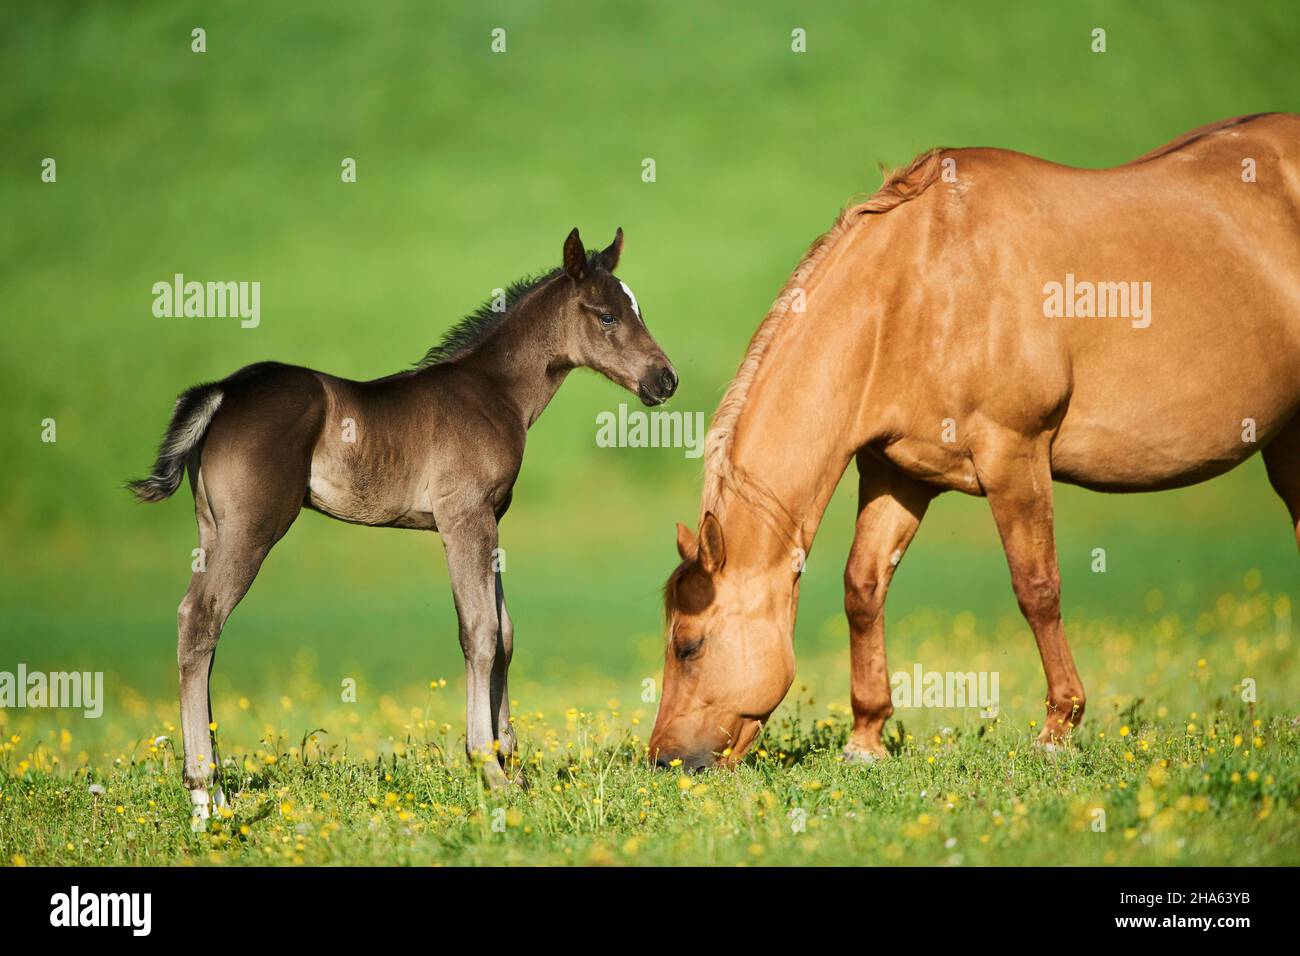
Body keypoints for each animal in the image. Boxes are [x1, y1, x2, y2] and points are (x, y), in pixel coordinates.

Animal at [129, 228, 677, 818]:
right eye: (607, 316)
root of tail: (223, 390)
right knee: (200, 619)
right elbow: (479, 632)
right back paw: (205, 793)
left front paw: (512, 763)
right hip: (250, 529)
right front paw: (490, 769)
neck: (495, 391)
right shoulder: (464, 518)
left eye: (638, 310)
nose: (665, 379)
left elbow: (506, 632)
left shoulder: (492, 520)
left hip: (211, 527)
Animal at [649, 113, 1300, 770]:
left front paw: (1057, 730)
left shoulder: (1014, 454)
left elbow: (1036, 588)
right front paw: (865, 739)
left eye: (688, 645)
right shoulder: (897, 473)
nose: (663, 758)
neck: (916, 292)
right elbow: (863, 587)